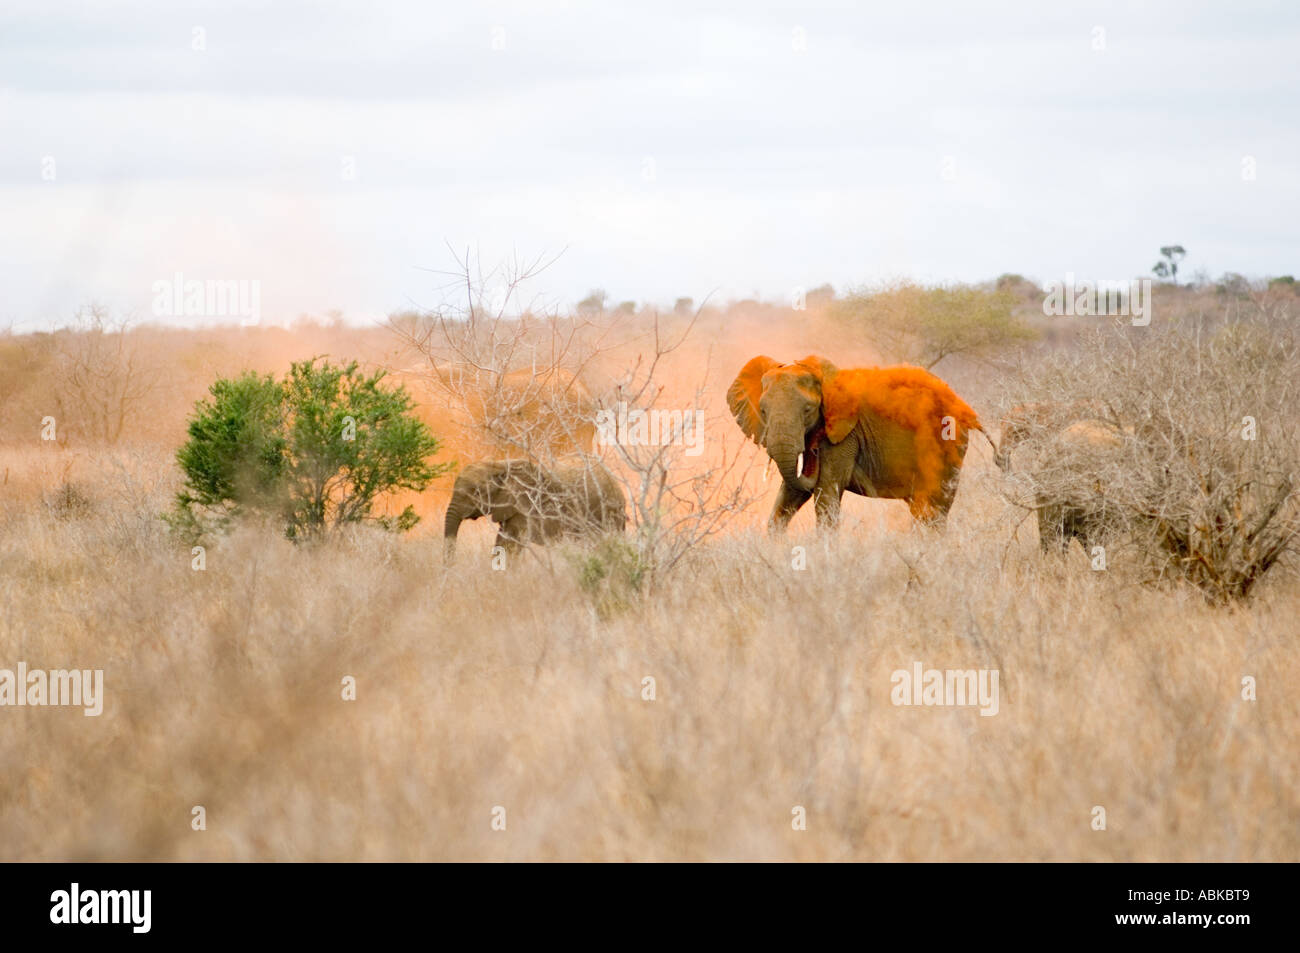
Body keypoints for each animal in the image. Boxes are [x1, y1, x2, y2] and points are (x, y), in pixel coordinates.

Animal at [443, 459, 626, 563]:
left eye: (476, 492)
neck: (499, 465)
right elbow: (502, 542)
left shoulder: (526, 505)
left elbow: (510, 543)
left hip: (607, 511)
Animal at [727, 354, 990, 531]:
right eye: (762, 411)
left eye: (808, 410)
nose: (812, 453)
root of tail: (966, 409)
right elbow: (790, 495)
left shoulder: (845, 437)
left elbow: (825, 495)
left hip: (949, 443)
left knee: (933, 507)